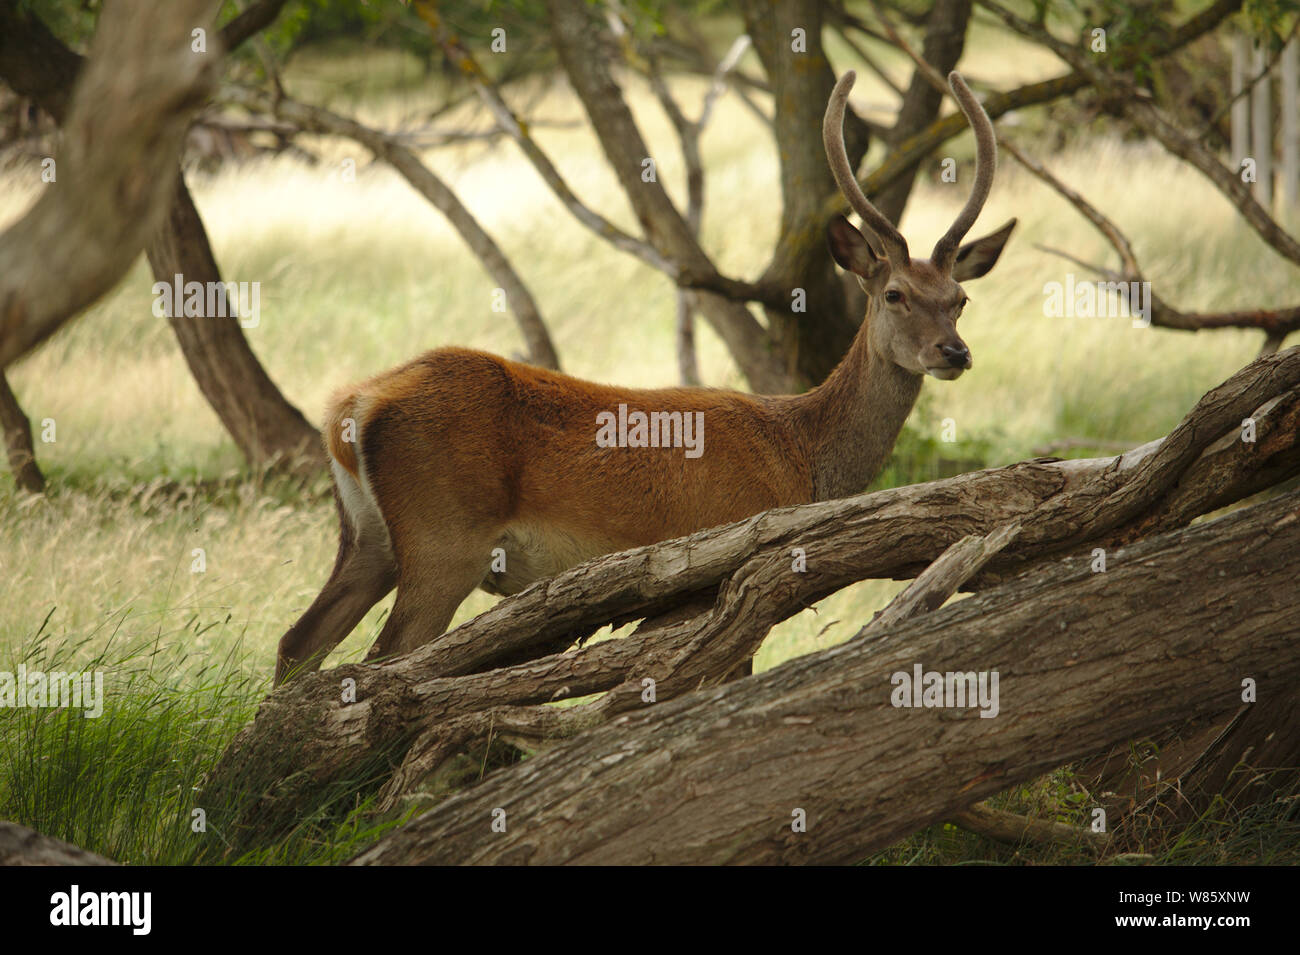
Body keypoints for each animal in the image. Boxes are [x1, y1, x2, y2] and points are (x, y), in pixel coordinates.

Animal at [274, 69, 1016, 686]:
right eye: (894, 294)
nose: (954, 352)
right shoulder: (715, 570)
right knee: (384, 660)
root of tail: (354, 404)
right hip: (444, 538)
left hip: (366, 536)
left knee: (296, 643)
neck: (802, 458)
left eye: (960, 298)